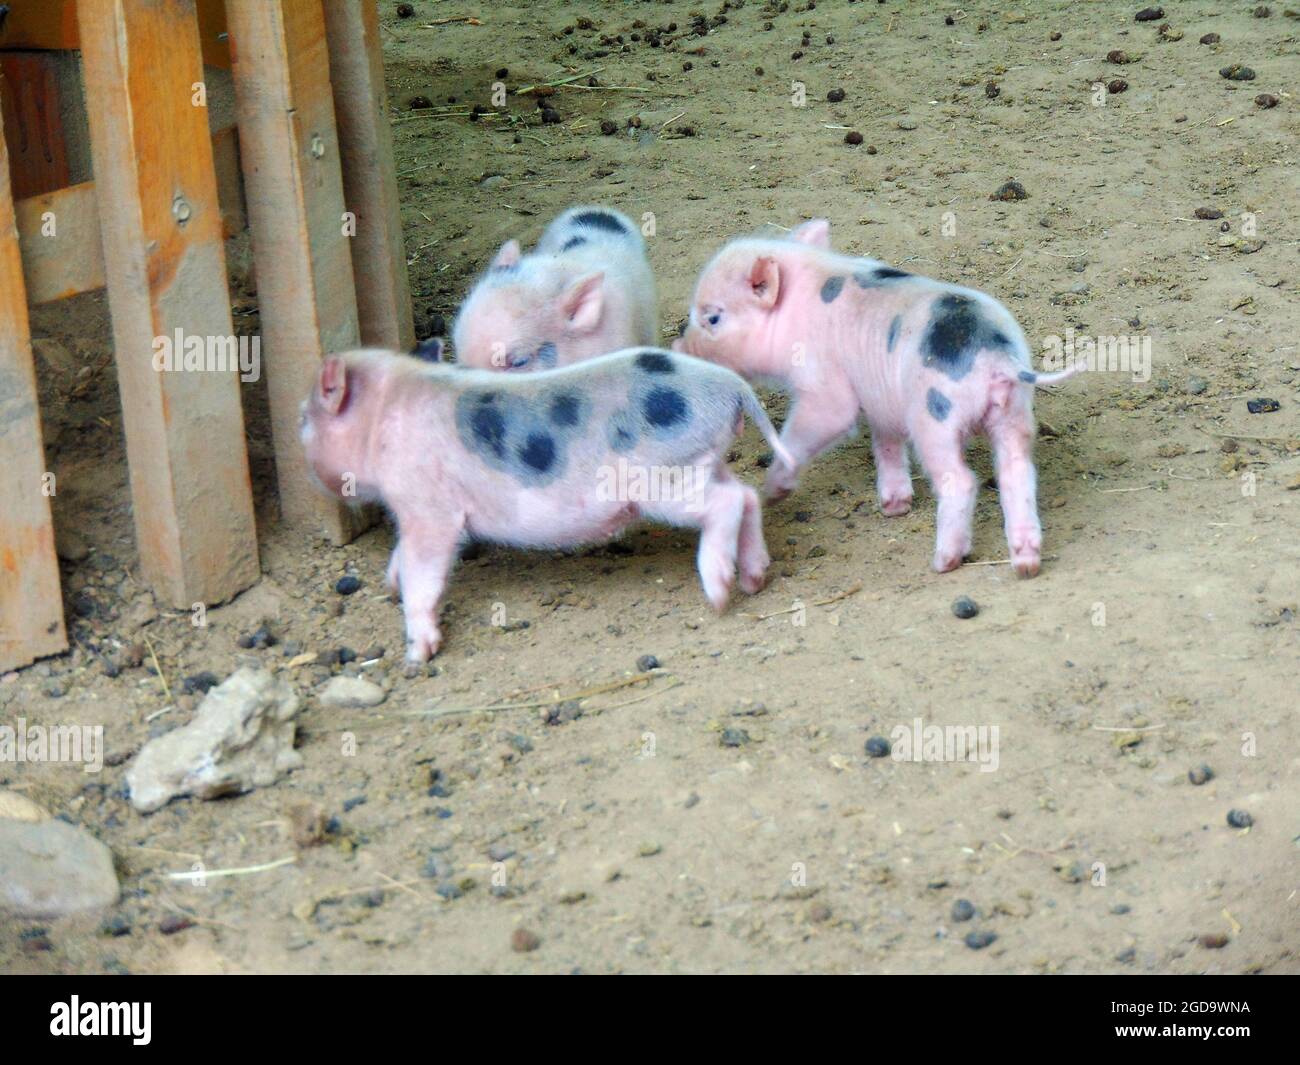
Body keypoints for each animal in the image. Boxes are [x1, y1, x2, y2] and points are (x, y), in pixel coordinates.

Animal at [300, 347, 789, 664]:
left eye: (304, 421)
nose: (306, 464)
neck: (380, 421)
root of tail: (733, 387)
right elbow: (402, 554)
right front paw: (388, 586)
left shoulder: (429, 507)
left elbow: (425, 567)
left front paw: (418, 655)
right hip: (701, 463)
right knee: (747, 495)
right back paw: (754, 579)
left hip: (665, 477)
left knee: (728, 502)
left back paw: (719, 594)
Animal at [676, 219, 1082, 577]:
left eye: (712, 318)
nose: (677, 346)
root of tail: (999, 358)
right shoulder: (881, 398)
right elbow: (885, 443)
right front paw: (894, 507)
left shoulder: (824, 385)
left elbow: (819, 423)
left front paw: (770, 493)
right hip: (1014, 412)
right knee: (1017, 472)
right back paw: (1026, 563)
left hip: (934, 418)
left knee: (962, 481)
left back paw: (944, 562)